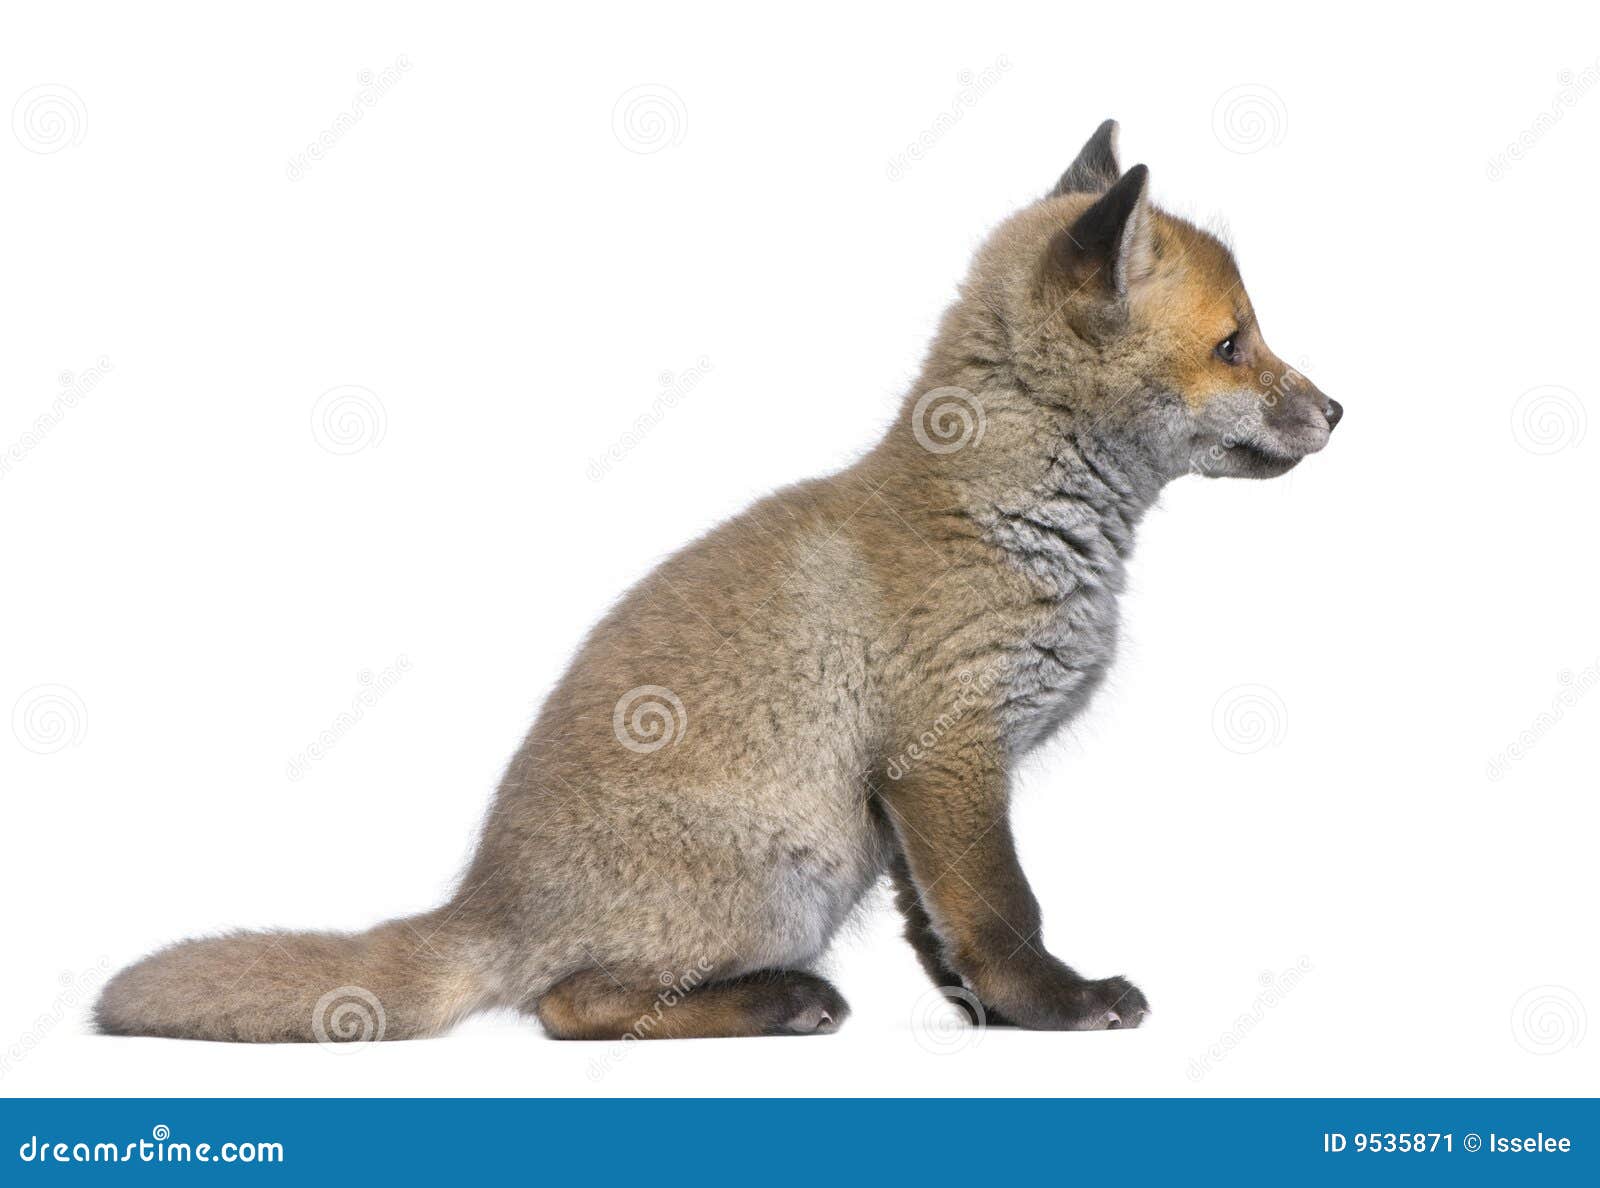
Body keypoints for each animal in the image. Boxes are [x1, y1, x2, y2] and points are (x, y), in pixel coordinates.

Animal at [97, 121, 1340, 1042]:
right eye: (1235, 345)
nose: (1337, 409)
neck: (1013, 523)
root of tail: (478, 904)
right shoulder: (945, 754)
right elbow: (1002, 910)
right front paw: (1055, 1007)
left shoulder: (909, 796)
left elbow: (938, 927)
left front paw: (977, 1014)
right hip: (779, 886)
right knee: (567, 1009)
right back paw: (777, 1004)